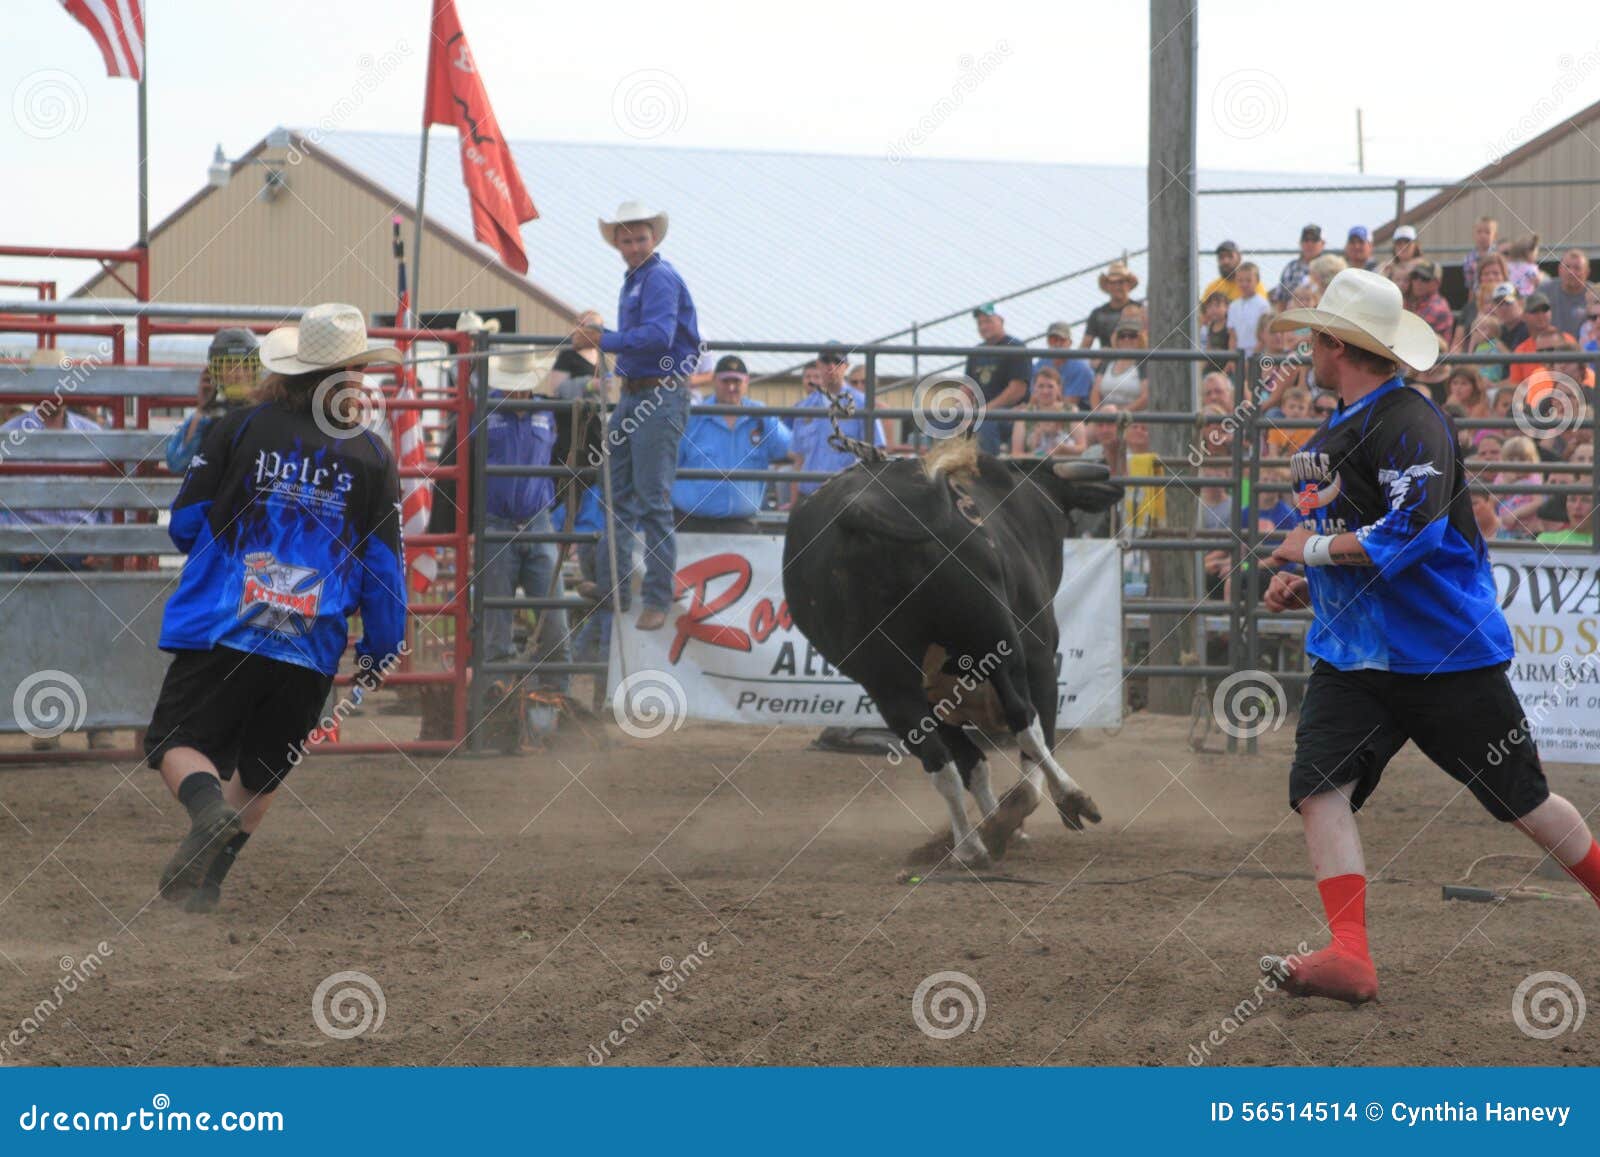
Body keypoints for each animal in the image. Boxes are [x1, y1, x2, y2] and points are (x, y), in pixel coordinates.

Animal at [782, 437, 1123, 867]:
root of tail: (855, 509)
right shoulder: (1041, 659)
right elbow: (1034, 739)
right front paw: (1018, 814)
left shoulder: (938, 703)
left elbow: (972, 764)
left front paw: (999, 826)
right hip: (996, 641)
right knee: (1023, 721)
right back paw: (1069, 798)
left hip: (887, 683)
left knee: (937, 762)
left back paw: (971, 846)